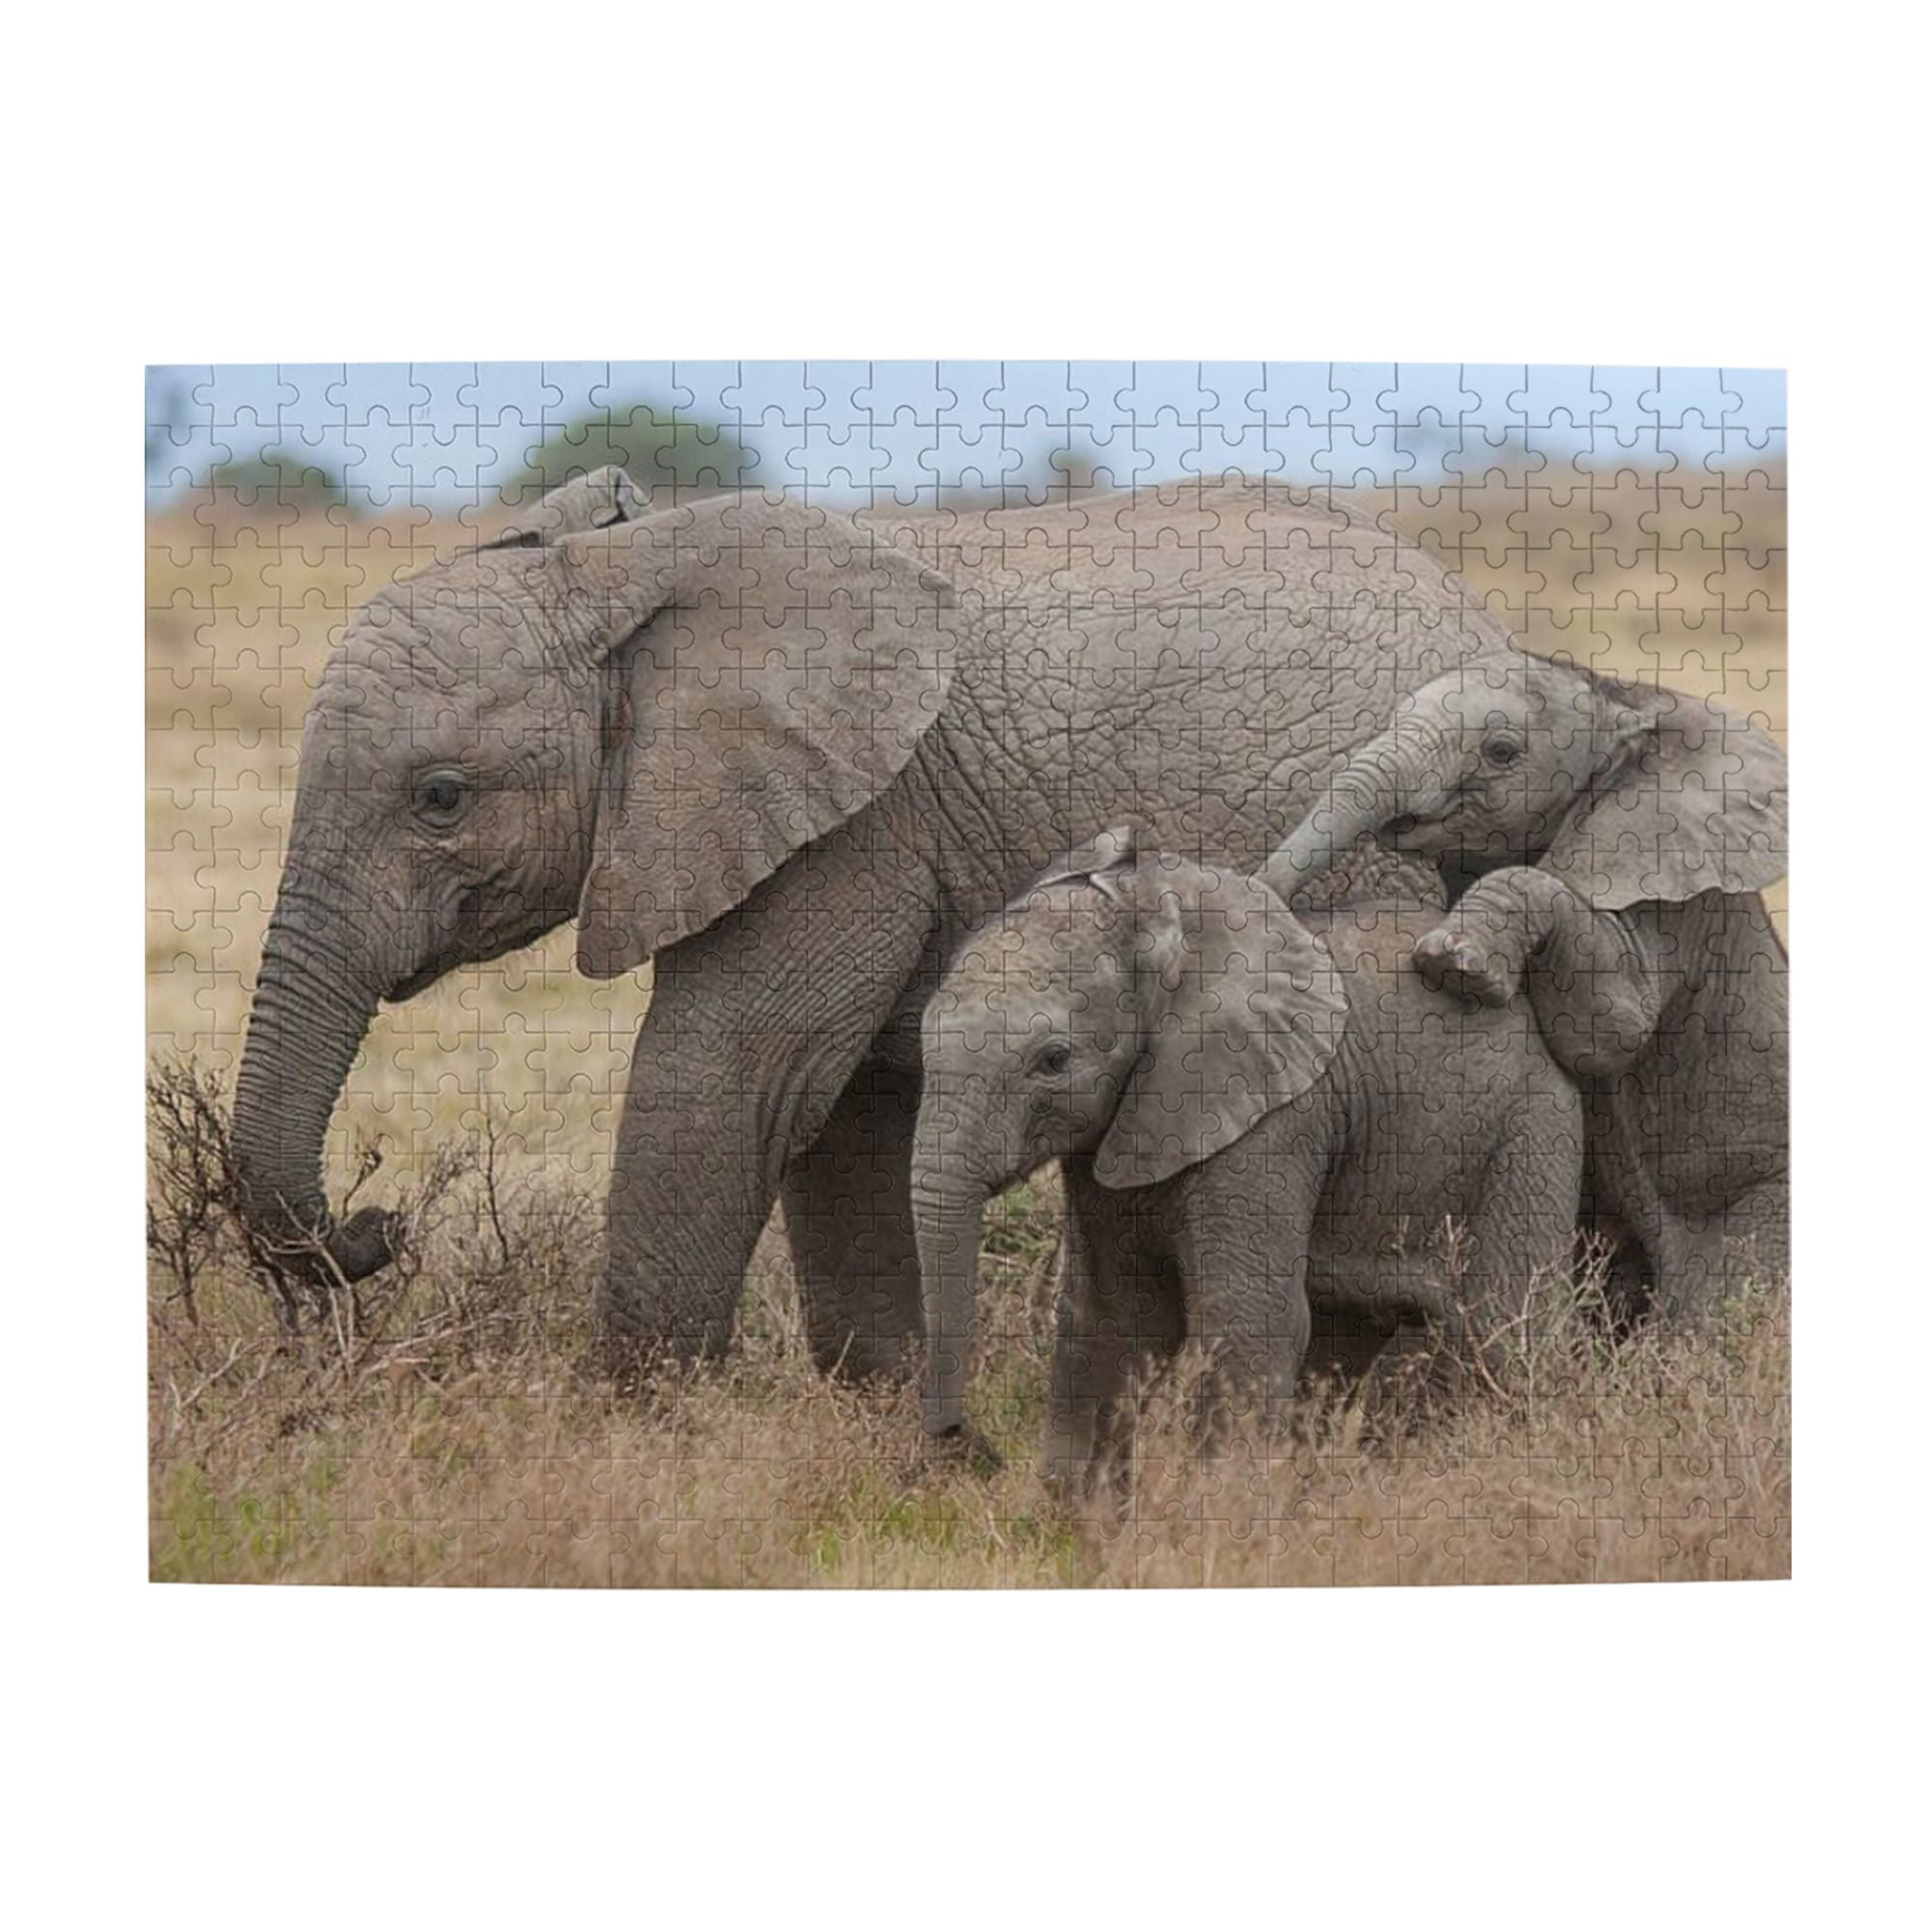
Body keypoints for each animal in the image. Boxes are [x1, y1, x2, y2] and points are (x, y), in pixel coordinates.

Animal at [228, 466, 1525, 1378]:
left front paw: (628, 1427)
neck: (623, 573)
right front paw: (894, 1424)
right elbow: (838, 1117)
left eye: (440, 798)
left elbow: (731, 1080)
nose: (378, 1221)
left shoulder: (853, 824)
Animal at [912, 829, 1592, 1482]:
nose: (965, 1443)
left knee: (1497, 1331)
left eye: (1053, 1060)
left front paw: (1224, 1511)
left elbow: (1248, 1319)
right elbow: (1113, 1319)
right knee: (1341, 1344)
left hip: (1530, 1134)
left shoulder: (1271, 1124)